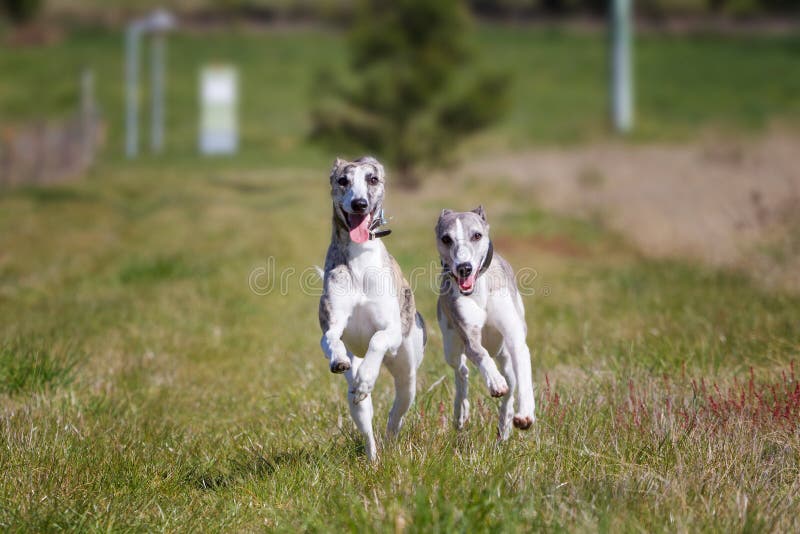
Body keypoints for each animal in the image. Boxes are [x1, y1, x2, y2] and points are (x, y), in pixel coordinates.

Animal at [318, 157, 424, 462]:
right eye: (343, 181)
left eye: (373, 179)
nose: (359, 204)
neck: (359, 255)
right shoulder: (332, 321)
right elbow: (331, 338)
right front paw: (339, 359)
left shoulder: (391, 331)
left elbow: (377, 338)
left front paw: (366, 376)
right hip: (356, 404)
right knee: (364, 416)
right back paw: (374, 459)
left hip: (407, 375)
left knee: (395, 415)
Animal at [434, 207, 536, 442]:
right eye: (446, 239)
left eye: (477, 235)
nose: (464, 268)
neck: (479, 286)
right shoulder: (469, 335)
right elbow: (479, 353)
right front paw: (494, 381)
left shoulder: (515, 338)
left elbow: (523, 377)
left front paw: (525, 414)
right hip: (450, 345)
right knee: (461, 372)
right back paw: (461, 413)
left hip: (504, 354)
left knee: (511, 383)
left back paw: (505, 426)